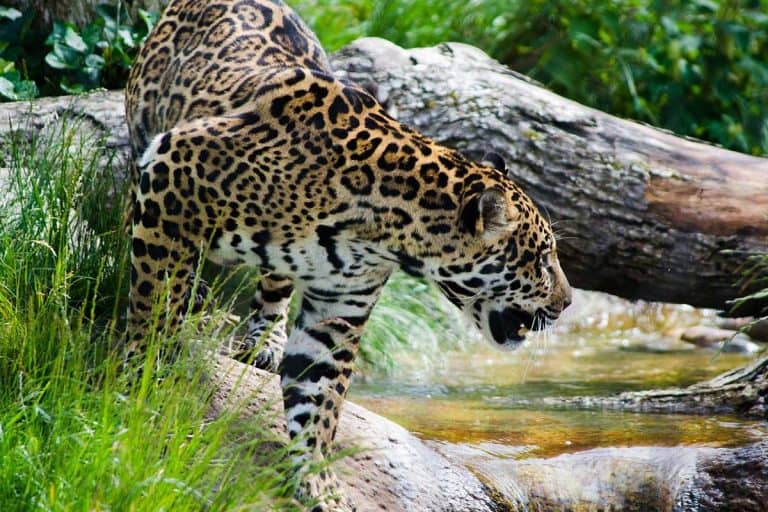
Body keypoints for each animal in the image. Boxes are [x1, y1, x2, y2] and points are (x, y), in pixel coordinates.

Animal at [124, 0, 572, 510]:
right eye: (541, 258)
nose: (568, 302)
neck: (382, 226)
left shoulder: (339, 305)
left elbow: (318, 399)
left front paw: (319, 483)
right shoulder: (174, 171)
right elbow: (153, 307)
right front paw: (142, 383)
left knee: (273, 287)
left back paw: (265, 338)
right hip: (145, 141)